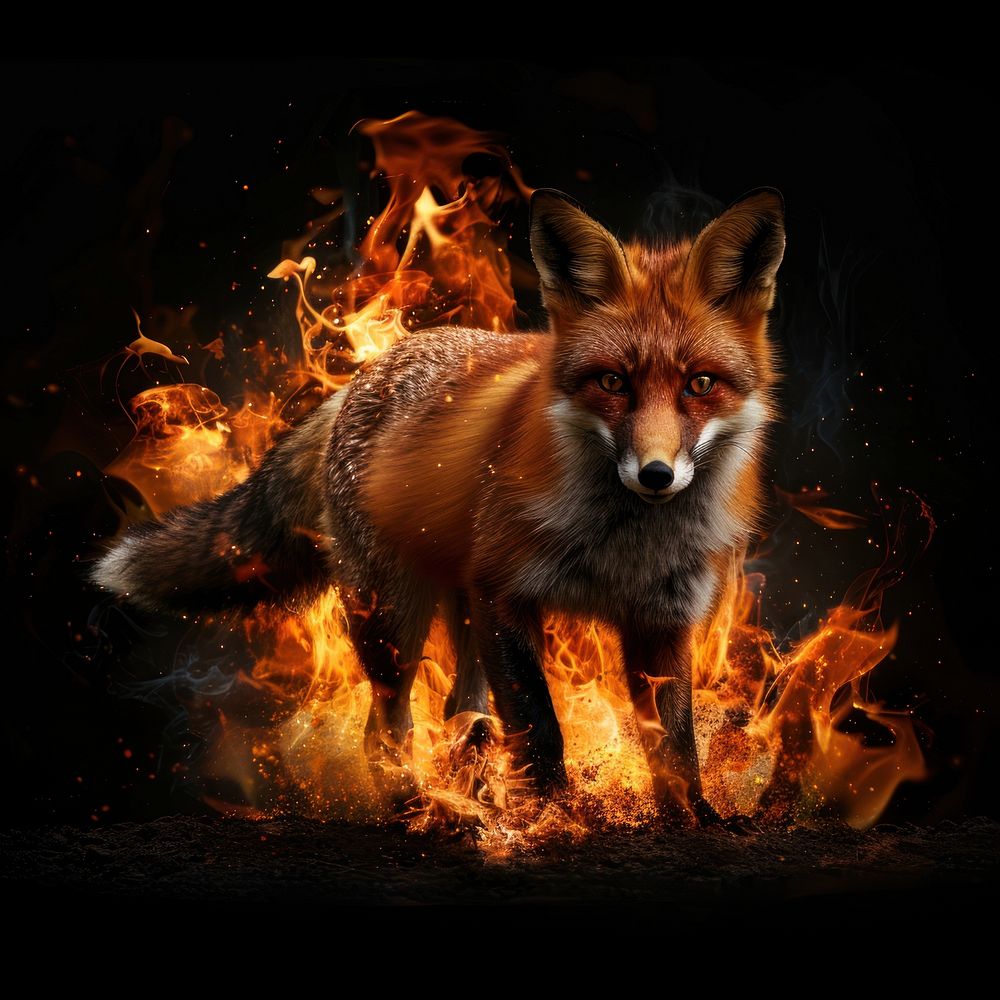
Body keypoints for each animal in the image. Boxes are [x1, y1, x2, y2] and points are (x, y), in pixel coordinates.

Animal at [93, 188, 784, 824]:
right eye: (613, 382)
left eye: (700, 384)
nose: (656, 475)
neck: (627, 548)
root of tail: (362, 378)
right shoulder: (505, 593)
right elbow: (541, 730)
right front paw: (554, 819)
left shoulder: (661, 623)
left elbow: (676, 748)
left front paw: (691, 820)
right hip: (393, 617)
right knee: (384, 731)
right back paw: (415, 807)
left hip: (463, 615)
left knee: (461, 713)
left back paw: (467, 795)